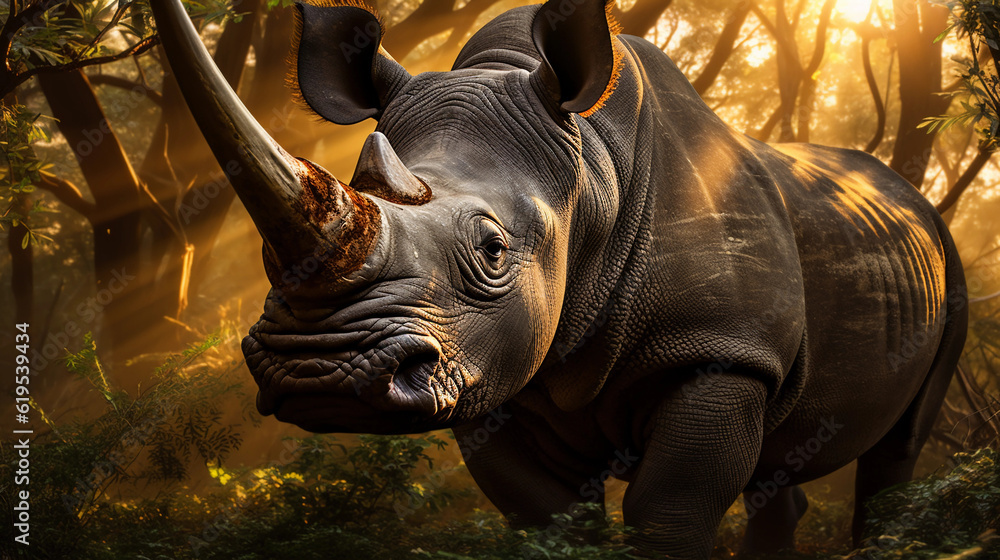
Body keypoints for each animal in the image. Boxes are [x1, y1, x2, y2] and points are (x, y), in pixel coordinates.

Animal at [150, 0, 968, 556]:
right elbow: (552, 518)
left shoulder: (725, 352)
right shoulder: (489, 372)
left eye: (492, 250)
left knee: (894, 455)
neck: (592, 176)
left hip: (948, 267)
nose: (317, 373)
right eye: (268, 259)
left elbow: (666, 514)